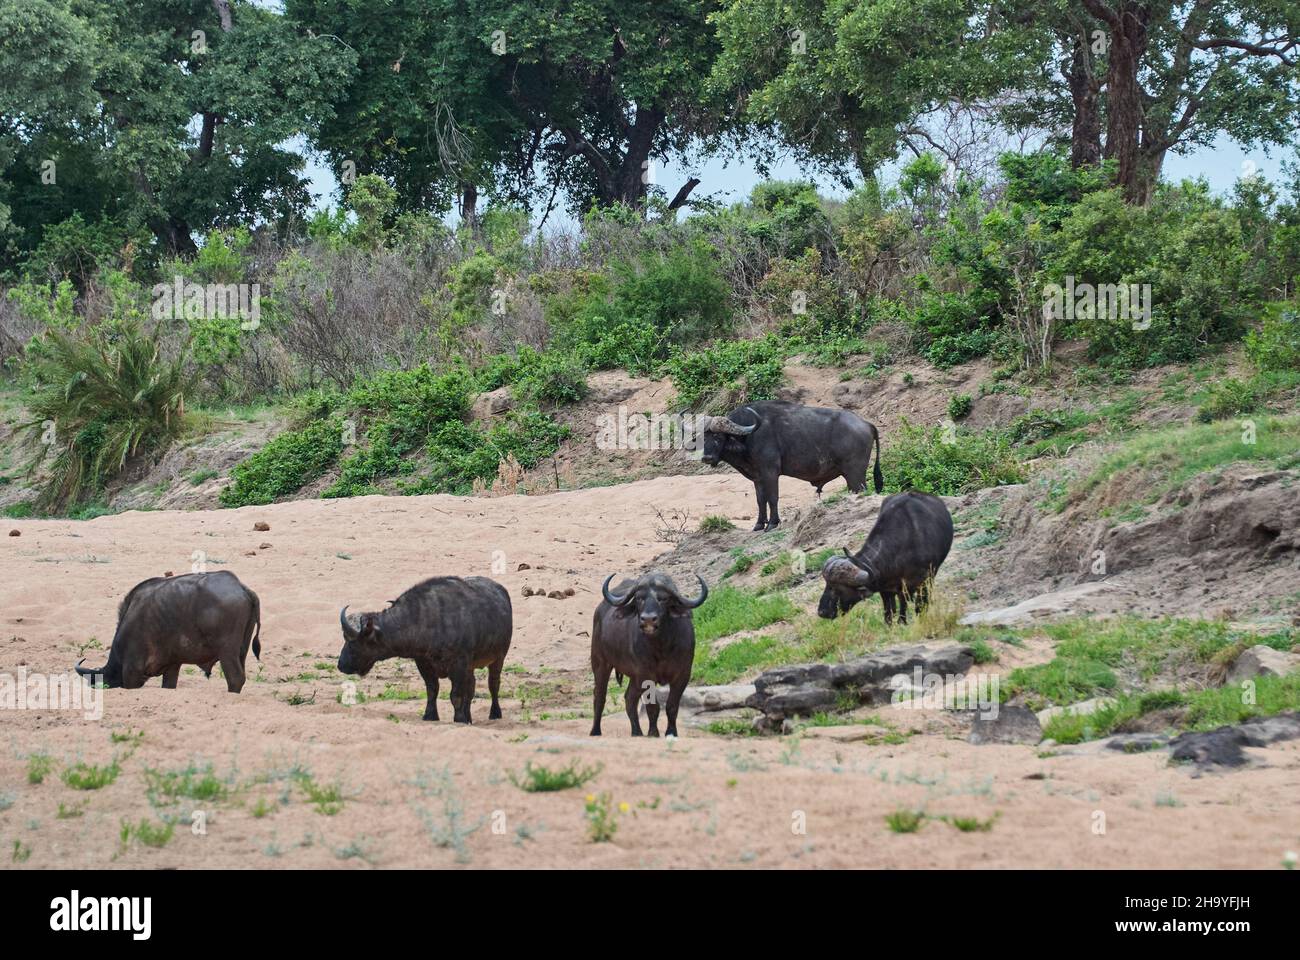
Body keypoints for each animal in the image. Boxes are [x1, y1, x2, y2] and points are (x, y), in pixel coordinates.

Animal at [75, 570, 261, 691]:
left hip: (227, 652)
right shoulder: (172, 666)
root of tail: (240, 587)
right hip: (241, 651)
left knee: (235, 678)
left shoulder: (132, 670)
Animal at [338, 576, 511, 723]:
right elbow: (432, 690)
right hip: (471, 667)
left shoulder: (459, 665)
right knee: (471, 687)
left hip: (499, 658)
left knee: (493, 684)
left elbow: (456, 694)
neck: (426, 621)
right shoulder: (423, 663)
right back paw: (469, 716)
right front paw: (430, 715)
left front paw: (459, 719)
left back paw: (495, 713)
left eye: (352, 643)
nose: (341, 665)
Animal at [590, 572, 708, 738]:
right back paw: (595, 731)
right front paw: (653, 733)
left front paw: (671, 732)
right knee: (599, 696)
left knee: (629, 698)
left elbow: (672, 706)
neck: (662, 646)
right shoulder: (646, 674)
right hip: (600, 662)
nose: (648, 619)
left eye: (663, 598)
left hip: (633, 677)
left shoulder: (683, 674)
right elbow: (653, 707)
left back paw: (637, 732)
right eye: (639, 598)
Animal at [699, 400, 883, 531]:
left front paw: (772, 523)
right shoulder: (757, 478)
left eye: (718, 436)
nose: (707, 458)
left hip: (855, 474)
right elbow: (760, 500)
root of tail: (866, 424)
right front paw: (759, 524)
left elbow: (773, 497)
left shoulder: (770, 472)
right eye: (701, 437)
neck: (748, 436)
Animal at [818, 491, 953, 624]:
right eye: (827, 585)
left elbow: (919, 608)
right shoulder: (886, 589)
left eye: (837, 589)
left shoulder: (924, 581)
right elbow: (890, 613)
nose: (822, 612)